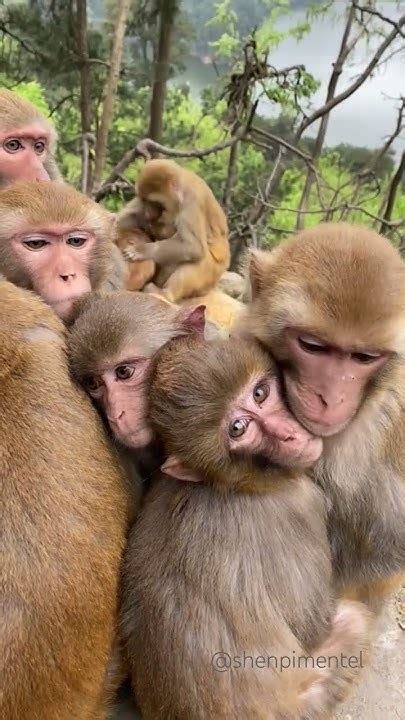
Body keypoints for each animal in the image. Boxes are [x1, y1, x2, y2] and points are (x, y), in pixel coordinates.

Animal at [118, 159, 230, 302]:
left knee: (198, 258)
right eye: (144, 200)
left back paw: (166, 294)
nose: (148, 213)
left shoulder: (192, 202)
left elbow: (193, 247)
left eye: (155, 203)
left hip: (211, 275)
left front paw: (141, 250)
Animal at [120, 333, 372, 720]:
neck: (233, 484)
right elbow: (313, 625)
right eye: (238, 428)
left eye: (260, 393)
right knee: (353, 621)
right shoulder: (300, 506)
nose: (287, 434)